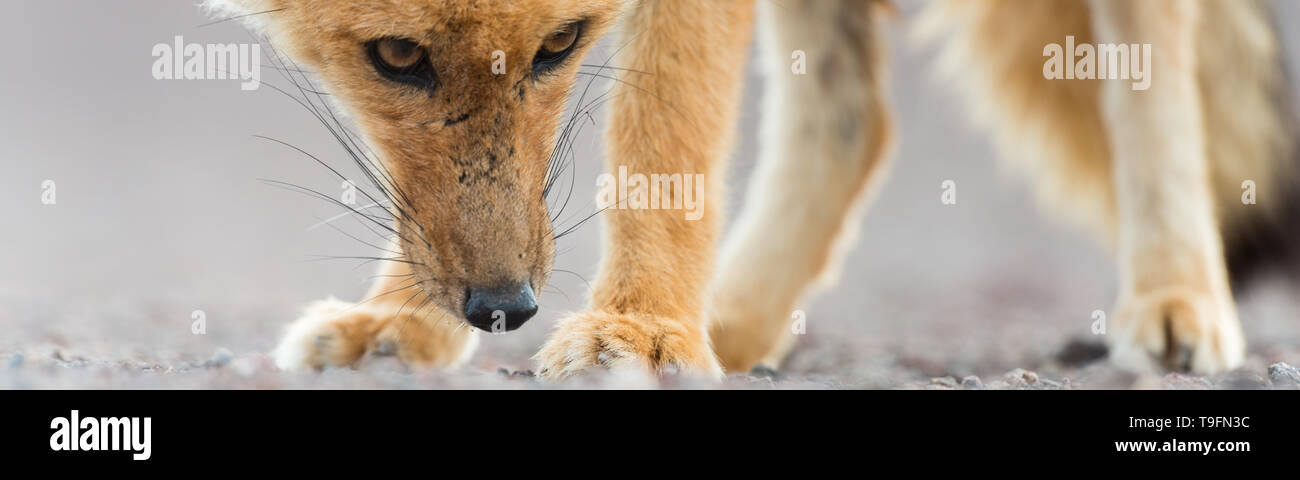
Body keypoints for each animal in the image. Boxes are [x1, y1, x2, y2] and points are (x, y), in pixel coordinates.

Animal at [202, 0, 1297, 381]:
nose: (504, 308)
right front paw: (404, 320)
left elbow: (666, 131)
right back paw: (733, 326)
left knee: (1152, 68)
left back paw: (1175, 297)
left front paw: (641, 326)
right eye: (395, 58)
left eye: (562, 45)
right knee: (858, 123)